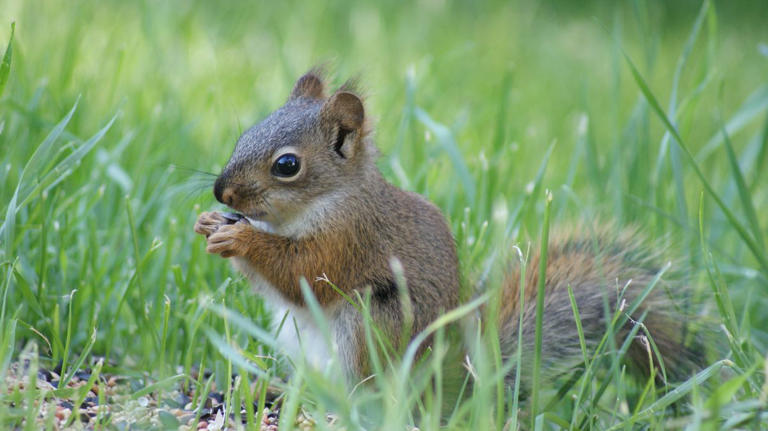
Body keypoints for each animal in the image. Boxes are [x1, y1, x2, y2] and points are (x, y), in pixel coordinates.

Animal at [194, 70, 700, 387]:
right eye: (244, 135)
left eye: (287, 165)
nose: (222, 192)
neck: (325, 200)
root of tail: (454, 394)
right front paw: (209, 224)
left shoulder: (350, 239)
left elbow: (302, 274)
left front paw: (239, 238)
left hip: (373, 324)